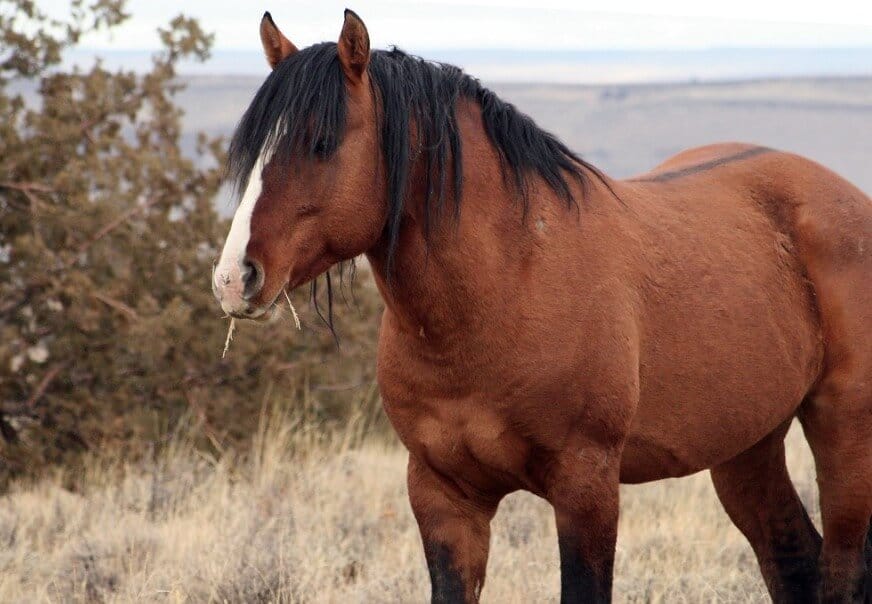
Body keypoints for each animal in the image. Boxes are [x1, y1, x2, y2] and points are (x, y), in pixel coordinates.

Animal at [212, 10, 872, 603]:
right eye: (252, 150)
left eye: (321, 142)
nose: (232, 279)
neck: (504, 288)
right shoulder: (442, 497)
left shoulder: (586, 489)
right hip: (745, 447)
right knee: (792, 558)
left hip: (842, 432)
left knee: (842, 567)